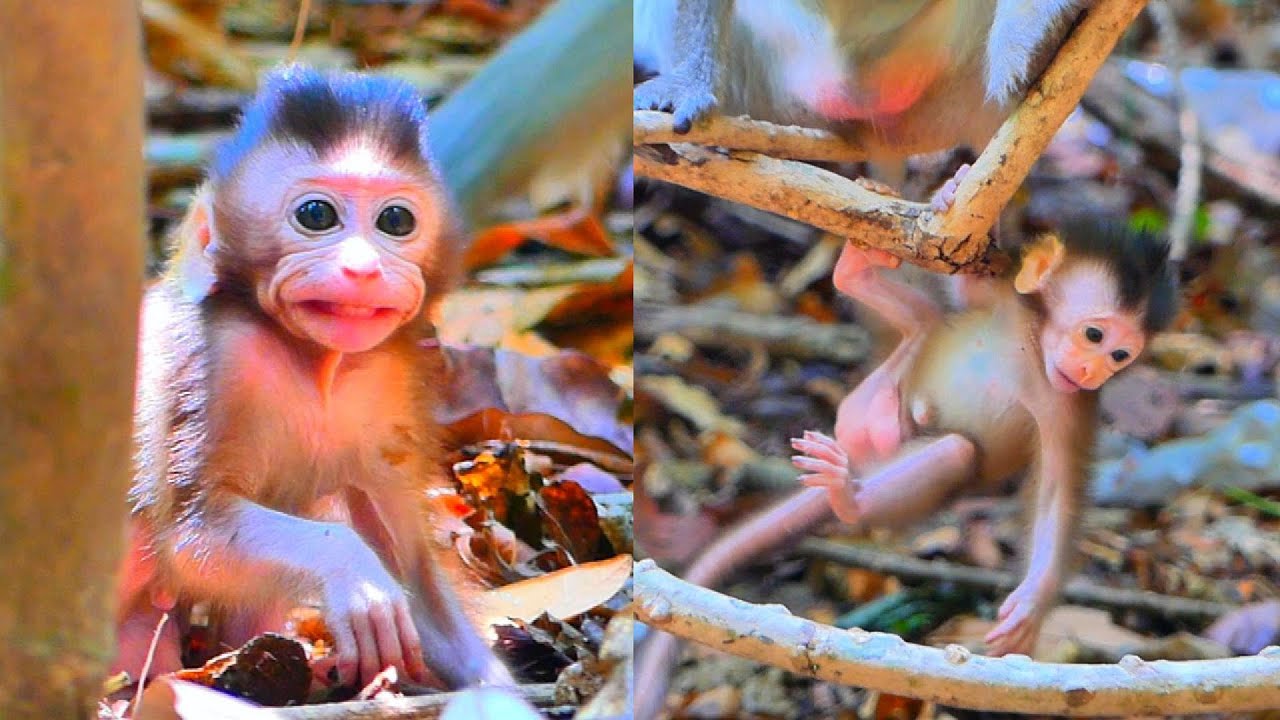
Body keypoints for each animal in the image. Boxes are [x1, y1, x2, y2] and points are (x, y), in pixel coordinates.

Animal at [112, 66, 512, 691]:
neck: (315, 361)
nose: (362, 268)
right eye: (317, 216)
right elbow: (191, 534)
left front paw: (494, 683)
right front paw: (354, 574)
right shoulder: (206, 360)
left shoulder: (392, 379)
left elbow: (412, 564)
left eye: (395, 221)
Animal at [634, 217, 1176, 719]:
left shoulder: (1070, 408)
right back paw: (857, 278)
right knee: (929, 322)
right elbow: (965, 284)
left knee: (954, 451)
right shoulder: (1004, 298)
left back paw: (850, 500)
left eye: (1120, 355)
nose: (1093, 371)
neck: (1031, 345)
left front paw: (1031, 602)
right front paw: (957, 196)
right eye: (1094, 334)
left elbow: (1058, 494)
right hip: (887, 387)